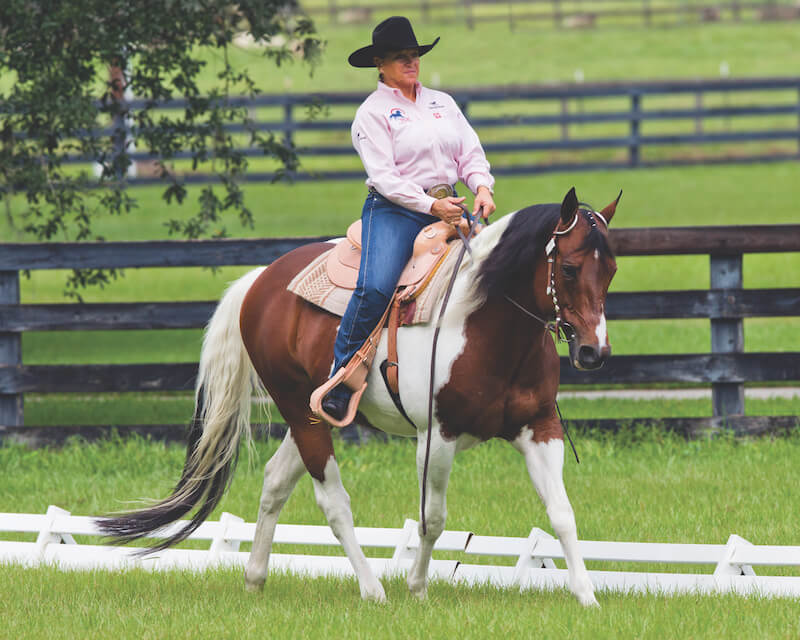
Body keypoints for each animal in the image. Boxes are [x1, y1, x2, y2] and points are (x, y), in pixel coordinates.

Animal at [97, 186, 620, 607]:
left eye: (612, 270)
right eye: (569, 268)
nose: (593, 352)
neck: (483, 322)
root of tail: (261, 279)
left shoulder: (540, 429)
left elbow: (562, 514)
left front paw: (587, 595)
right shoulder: (437, 436)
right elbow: (432, 518)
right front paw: (417, 587)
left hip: (309, 418)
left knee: (275, 481)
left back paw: (255, 577)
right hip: (303, 415)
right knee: (334, 502)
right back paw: (372, 589)